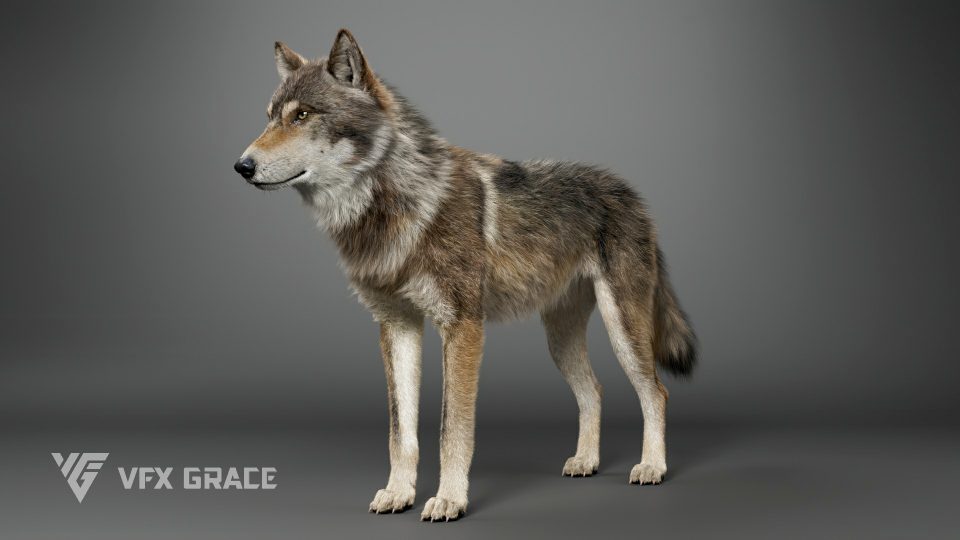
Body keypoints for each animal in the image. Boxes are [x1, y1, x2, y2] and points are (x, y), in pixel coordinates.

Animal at [234, 29, 697, 522]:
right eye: (270, 117)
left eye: (302, 116)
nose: (241, 166)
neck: (396, 208)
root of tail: (631, 193)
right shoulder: (397, 327)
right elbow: (401, 434)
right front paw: (398, 493)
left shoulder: (462, 328)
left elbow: (451, 429)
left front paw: (450, 500)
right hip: (560, 340)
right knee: (594, 391)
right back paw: (586, 461)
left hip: (622, 330)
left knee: (655, 393)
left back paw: (651, 466)